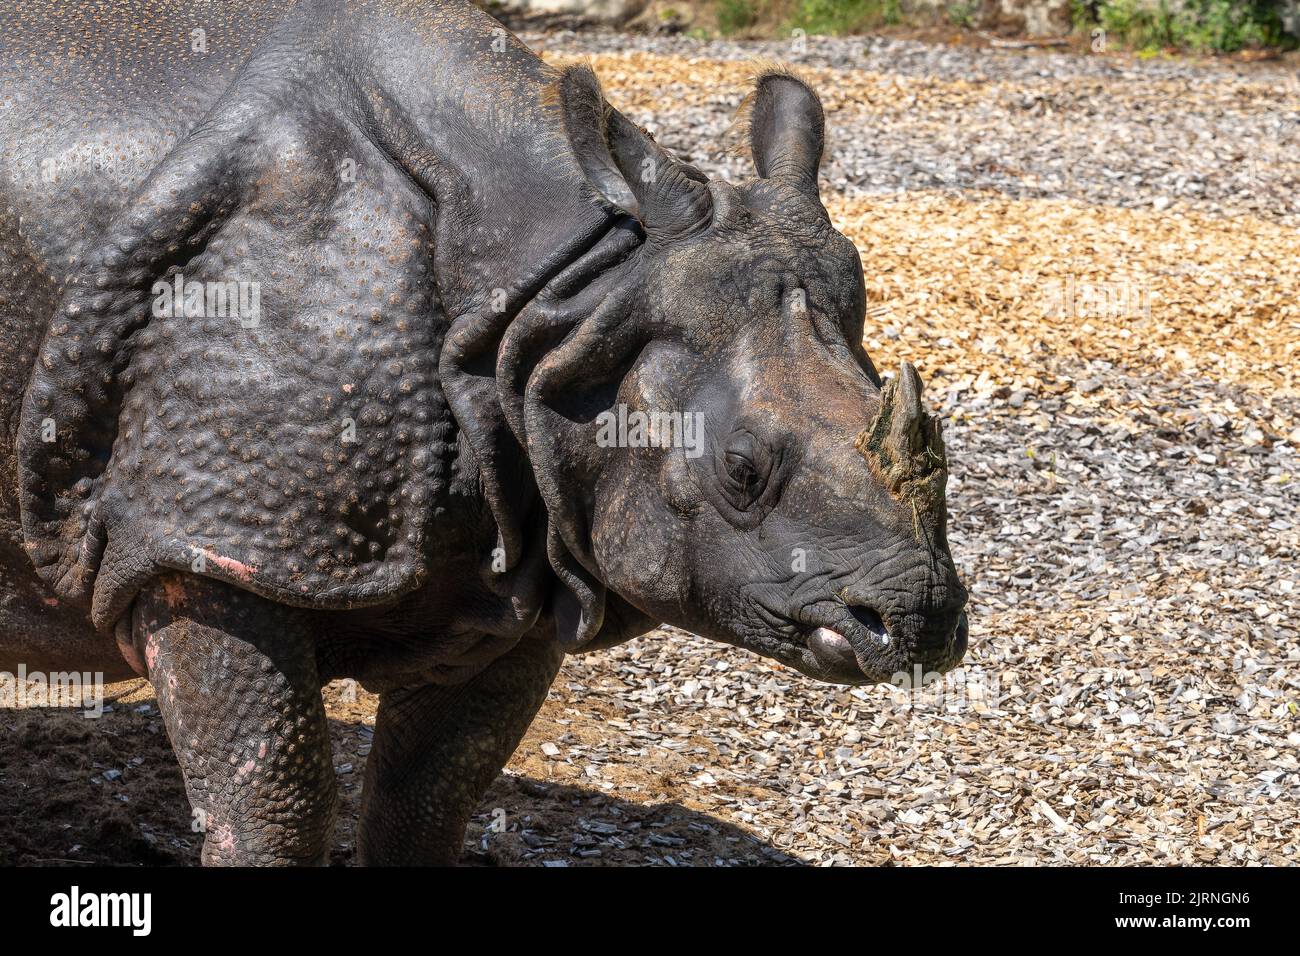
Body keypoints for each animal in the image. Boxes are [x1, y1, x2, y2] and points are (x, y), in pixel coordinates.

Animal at [0, 0, 968, 865]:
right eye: (740, 470)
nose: (917, 618)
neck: (564, 293)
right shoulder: (200, 534)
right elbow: (273, 806)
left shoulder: (535, 533)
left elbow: (430, 798)